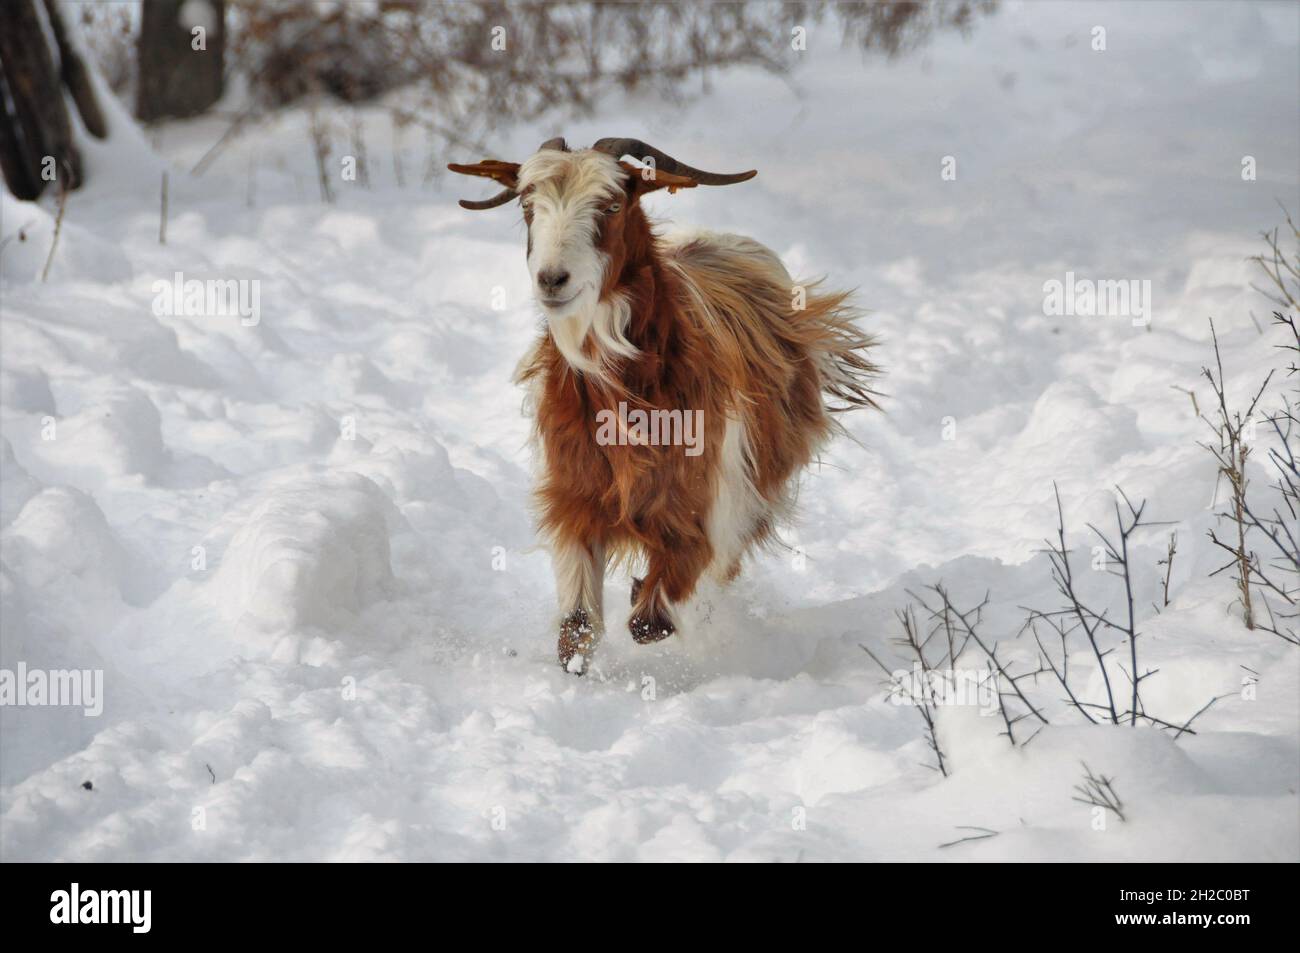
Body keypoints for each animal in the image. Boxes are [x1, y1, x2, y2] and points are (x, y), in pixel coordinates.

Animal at [450, 137, 879, 673]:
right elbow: (578, 629)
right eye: (528, 207)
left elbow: (654, 615)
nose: (552, 279)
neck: (628, 391)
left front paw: (650, 602)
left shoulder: (714, 502)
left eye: (612, 205)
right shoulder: (574, 495)